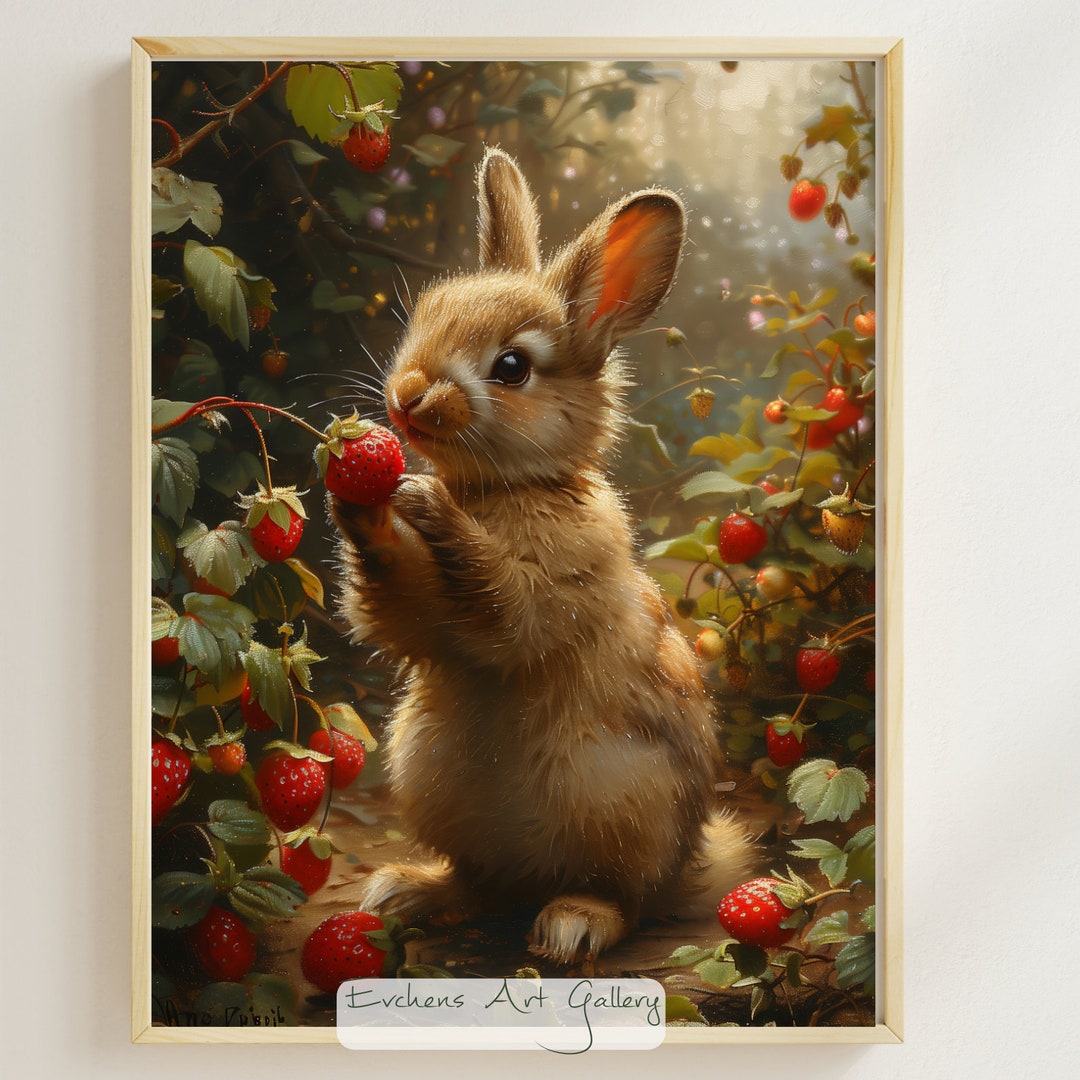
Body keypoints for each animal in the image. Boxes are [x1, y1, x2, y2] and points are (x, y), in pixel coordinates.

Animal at [327, 146, 755, 963]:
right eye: (427, 316)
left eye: (512, 368)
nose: (406, 397)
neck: (507, 488)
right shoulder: (420, 614)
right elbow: (394, 601)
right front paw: (362, 497)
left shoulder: (545, 591)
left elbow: (504, 602)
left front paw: (427, 503)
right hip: (427, 769)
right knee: (479, 884)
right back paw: (405, 891)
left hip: (617, 802)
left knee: (624, 902)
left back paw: (569, 925)